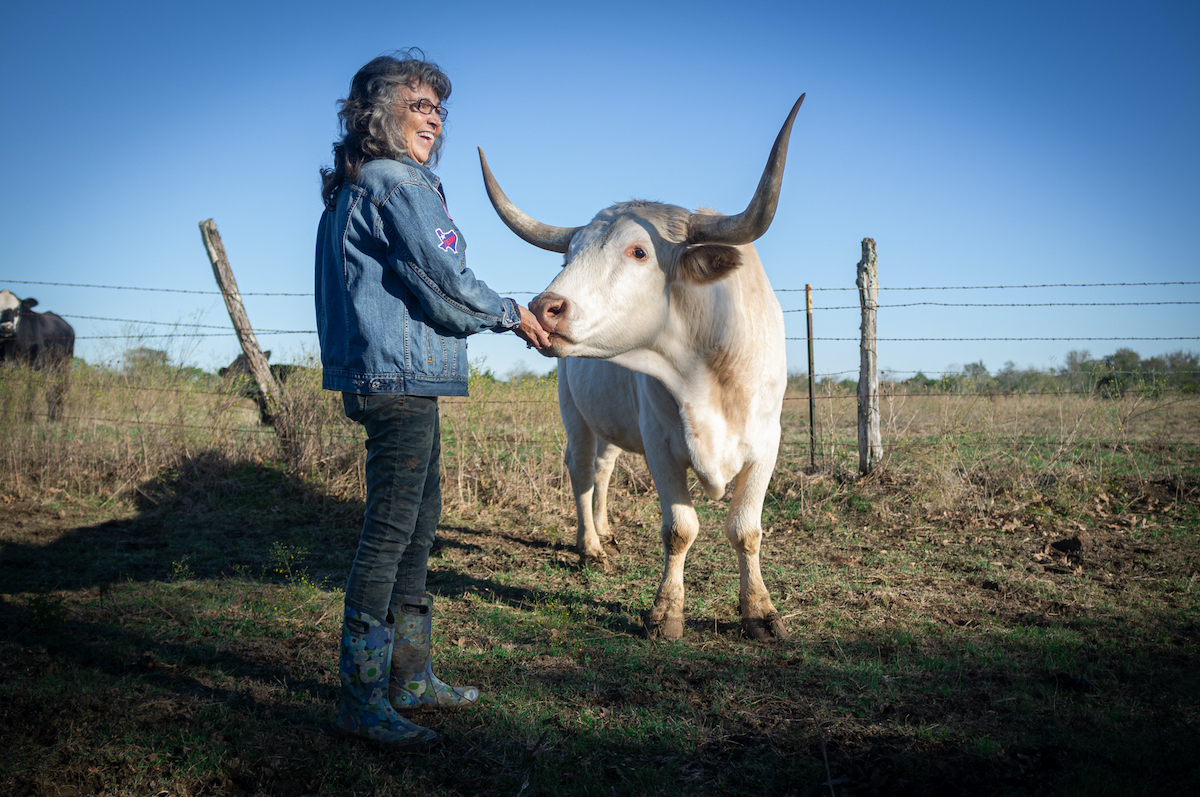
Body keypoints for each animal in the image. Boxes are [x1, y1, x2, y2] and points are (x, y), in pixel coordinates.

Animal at [0, 291, 76, 421]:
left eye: (17, 309)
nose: (7, 327)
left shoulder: (36, 364)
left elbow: (31, 390)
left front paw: (29, 418)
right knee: (51, 391)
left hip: (64, 365)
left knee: (61, 389)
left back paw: (58, 418)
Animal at [477, 95, 805, 642]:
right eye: (569, 254)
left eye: (639, 251)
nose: (544, 308)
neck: (706, 369)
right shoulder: (660, 442)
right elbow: (679, 528)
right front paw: (665, 611)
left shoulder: (766, 444)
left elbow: (746, 529)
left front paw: (759, 612)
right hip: (575, 413)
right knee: (581, 469)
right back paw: (590, 545)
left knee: (604, 468)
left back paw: (606, 530)